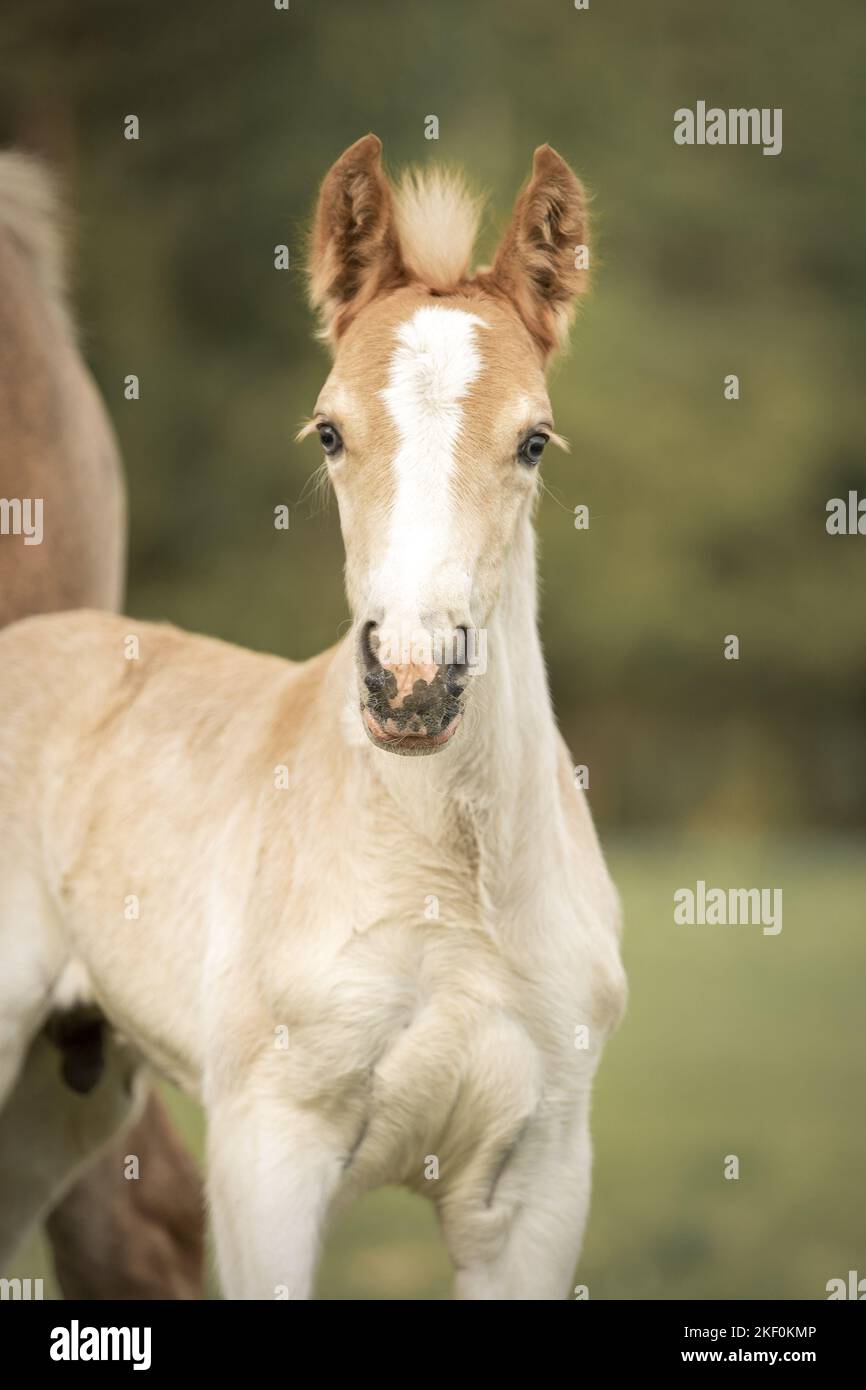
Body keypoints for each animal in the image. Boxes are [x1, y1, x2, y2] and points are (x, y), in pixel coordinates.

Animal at [0, 135, 626, 1299]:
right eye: (330, 431)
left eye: (534, 442)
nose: (413, 683)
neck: (447, 883)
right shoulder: (269, 1152)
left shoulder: (536, 1186)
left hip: (56, 1099)